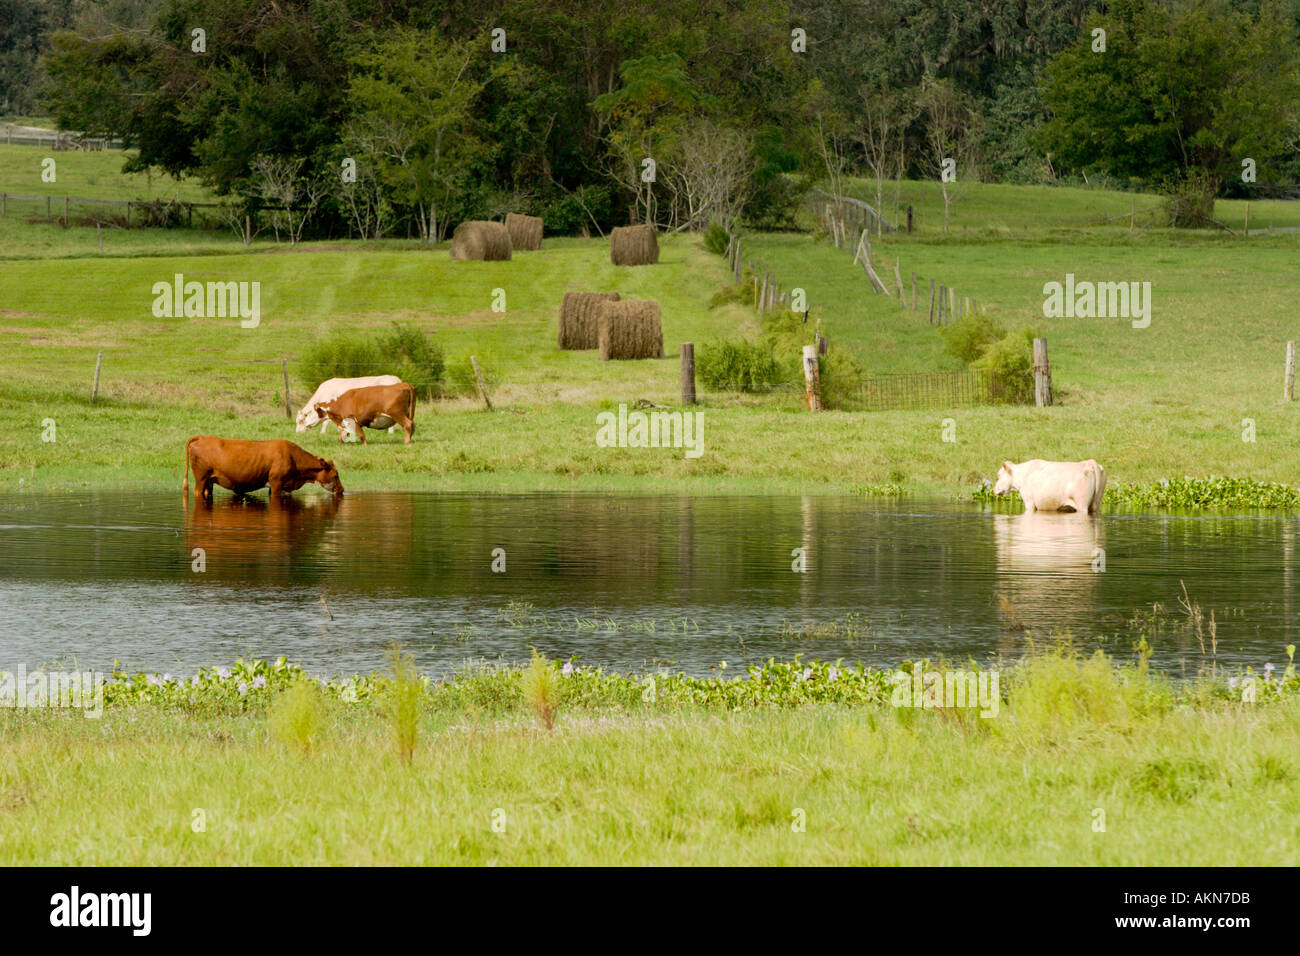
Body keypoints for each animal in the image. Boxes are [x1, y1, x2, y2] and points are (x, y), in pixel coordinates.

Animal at [183, 436, 343, 503]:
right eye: (336, 475)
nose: (342, 490)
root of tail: (203, 437)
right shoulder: (276, 482)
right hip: (201, 478)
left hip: (209, 481)